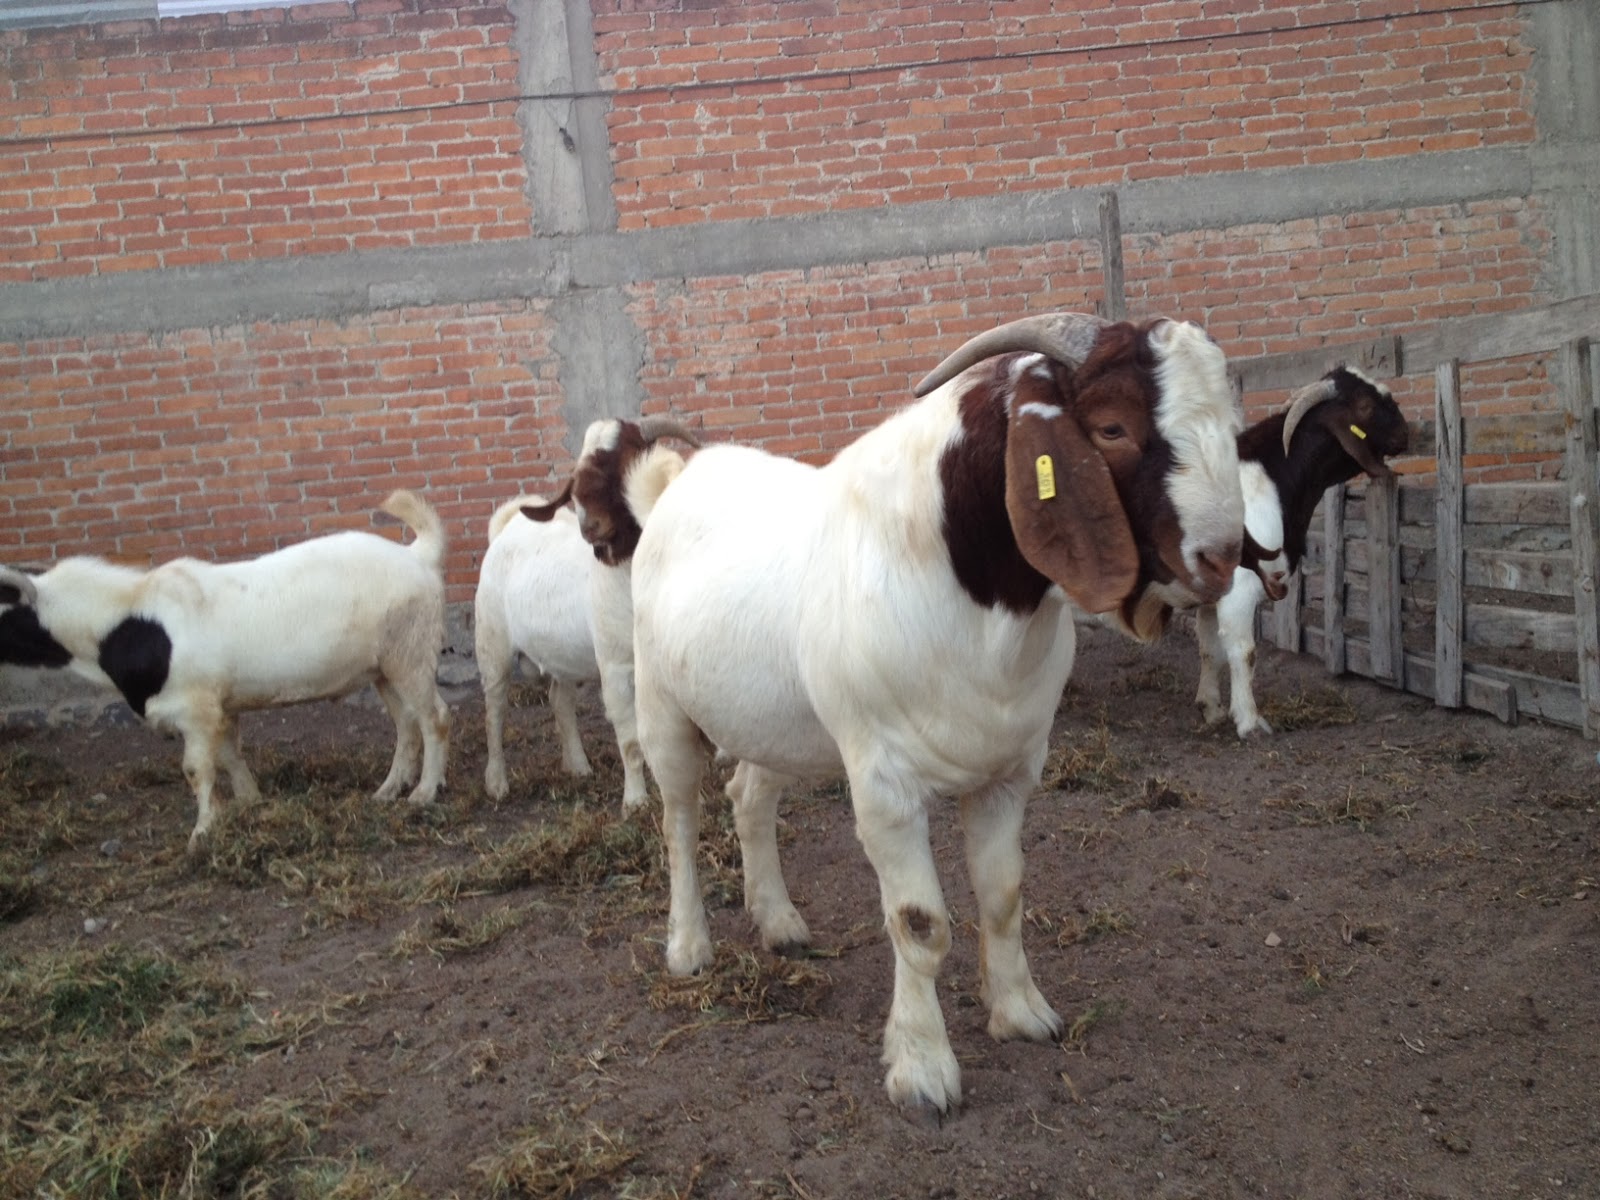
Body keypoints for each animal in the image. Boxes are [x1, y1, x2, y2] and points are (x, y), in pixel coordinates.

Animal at [0, 491, 451, 849]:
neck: (126, 622)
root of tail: (415, 554)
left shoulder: (193, 707)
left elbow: (196, 768)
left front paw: (201, 834)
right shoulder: (220, 703)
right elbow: (230, 754)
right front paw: (250, 801)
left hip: (411, 653)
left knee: (434, 717)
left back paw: (424, 793)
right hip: (384, 668)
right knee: (406, 724)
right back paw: (387, 790)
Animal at [544, 313, 1247, 1115]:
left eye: (1232, 423)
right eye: (1111, 426)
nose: (1223, 557)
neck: (958, 583)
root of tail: (677, 483)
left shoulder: (1009, 770)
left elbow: (1003, 896)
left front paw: (1021, 1013)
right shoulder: (883, 786)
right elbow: (920, 924)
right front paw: (922, 1070)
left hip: (776, 721)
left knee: (749, 797)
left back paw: (780, 923)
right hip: (663, 704)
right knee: (680, 819)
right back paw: (689, 946)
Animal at [1110, 366, 1411, 737]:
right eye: (1365, 405)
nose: (1405, 432)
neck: (1271, 479)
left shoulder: (1210, 596)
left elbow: (1209, 649)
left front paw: (1211, 709)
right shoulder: (1239, 588)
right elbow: (1244, 652)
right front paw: (1249, 722)